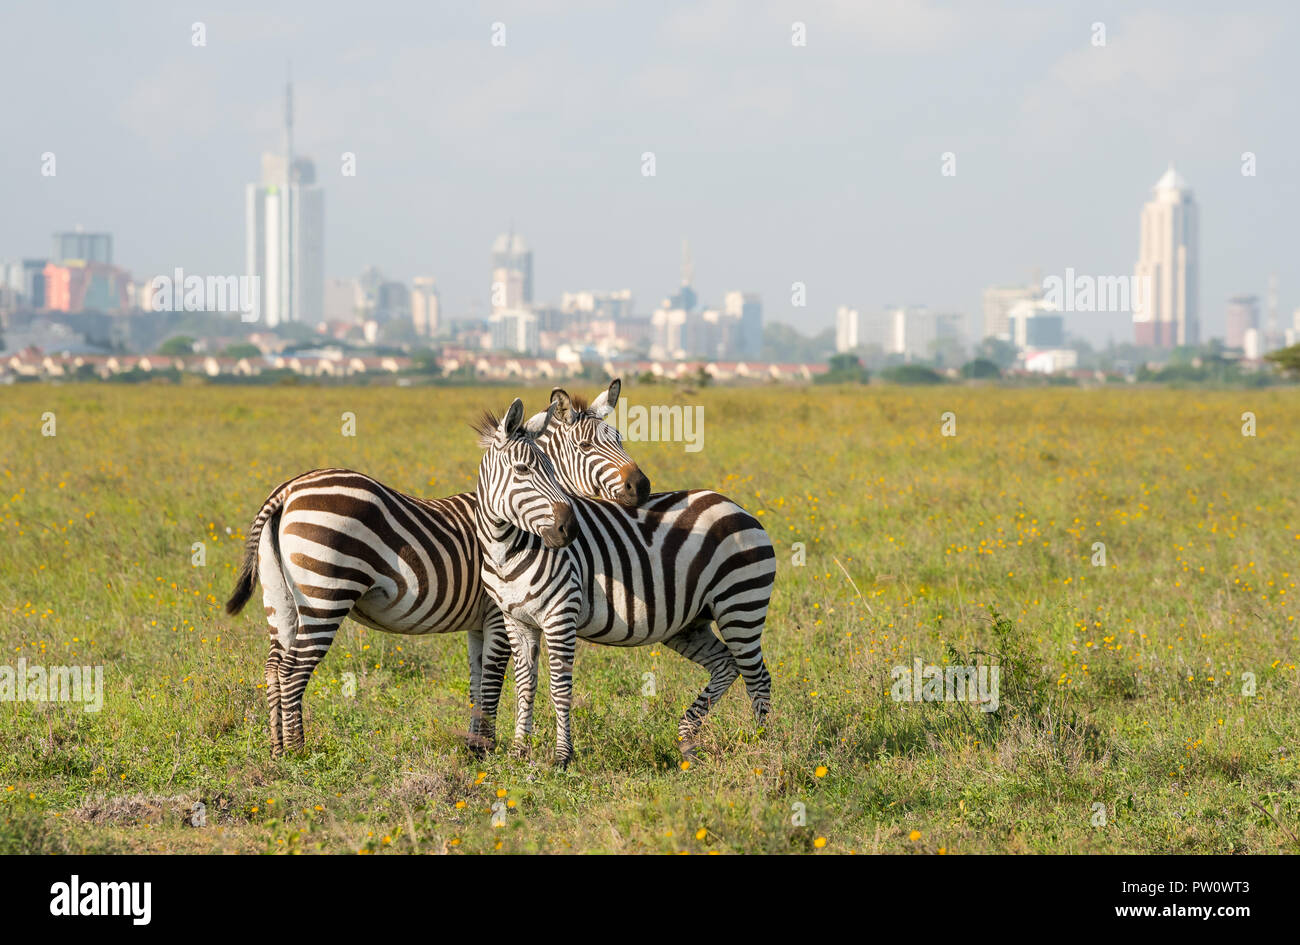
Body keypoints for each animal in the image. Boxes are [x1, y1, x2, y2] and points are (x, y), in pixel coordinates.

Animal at [223, 380, 647, 757]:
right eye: (586, 446)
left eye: (620, 439)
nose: (641, 487)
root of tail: (287, 490)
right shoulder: (498, 614)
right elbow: (493, 680)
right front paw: (486, 749)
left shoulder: (479, 622)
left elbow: (478, 681)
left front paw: (476, 746)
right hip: (325, 594)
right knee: (294, 669)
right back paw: (298, 751)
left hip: (280, 598)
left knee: (274, 666)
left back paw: (277, 748)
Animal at [473, 397, 775, 766]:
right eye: (522, 471)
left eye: (552, 472)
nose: (569, 530)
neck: (507, 550)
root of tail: (736, 506)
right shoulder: (516, 620)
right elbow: (524, 685)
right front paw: (519, 752)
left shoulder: (560, 616)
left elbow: (559, 687)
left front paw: (562, 757)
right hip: (689, 624)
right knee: (726, 665)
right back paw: (688, 738)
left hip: (741, 605)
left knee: (757, 677)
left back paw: (763, 745)